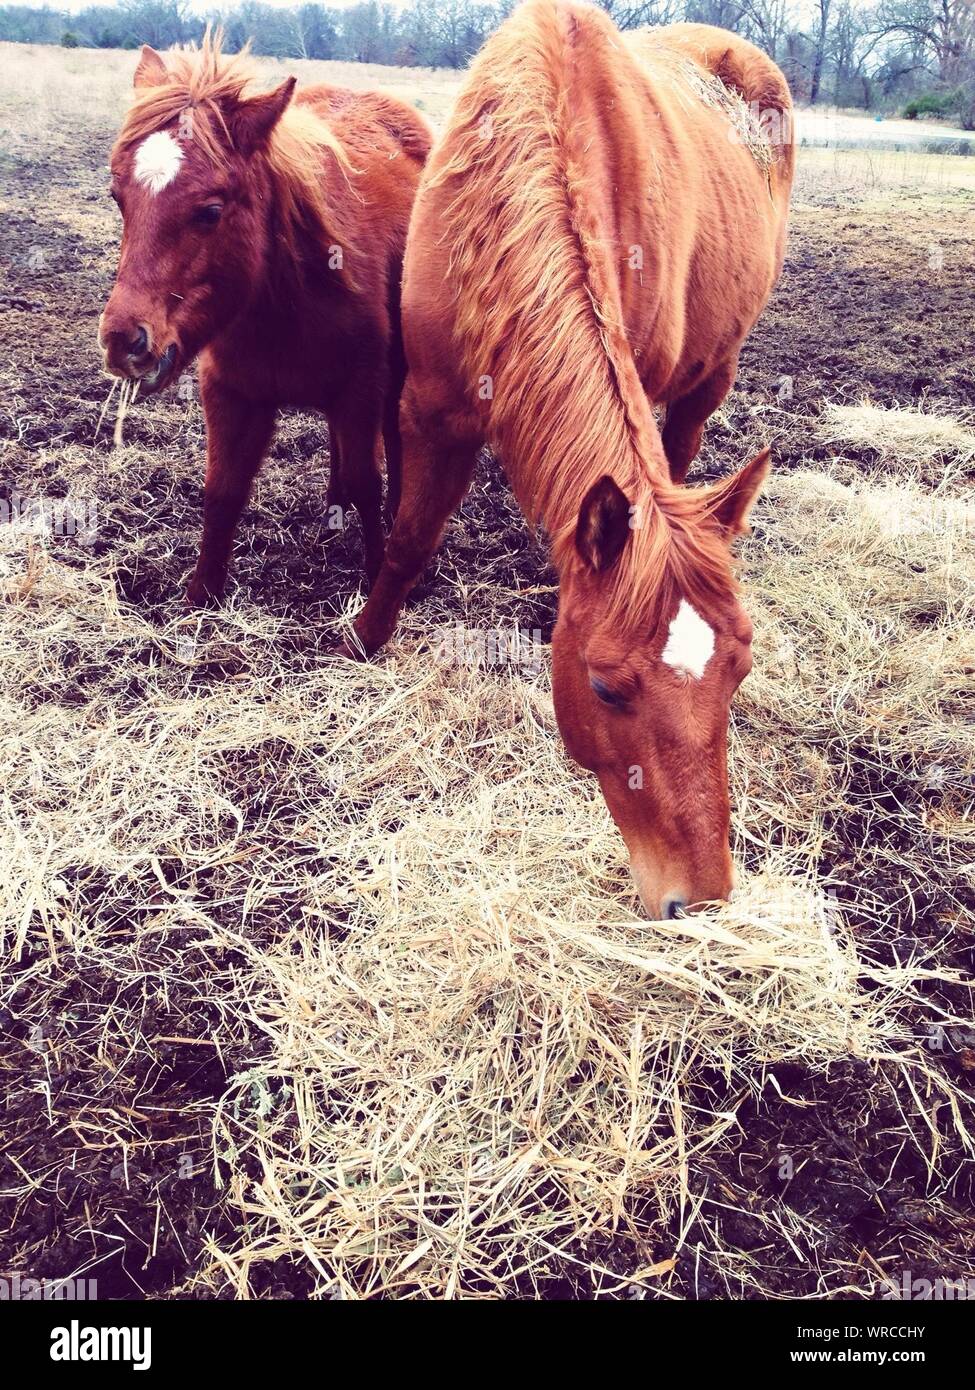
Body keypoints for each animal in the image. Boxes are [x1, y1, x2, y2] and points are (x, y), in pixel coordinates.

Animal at [99, 33, 431, 600]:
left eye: (210, 211)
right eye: (119, 197)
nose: (124, 340)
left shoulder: (361, 388)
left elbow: (369, 479)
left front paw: (375, 577)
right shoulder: (232, 395)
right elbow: (223, 490)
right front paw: (202, 594)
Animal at [349, 0, 795, 919]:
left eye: (739, 672)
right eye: (603, 689)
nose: (698, 899)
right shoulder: (429, 408)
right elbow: (408, 541)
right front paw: (365, 641)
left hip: (709, 375)